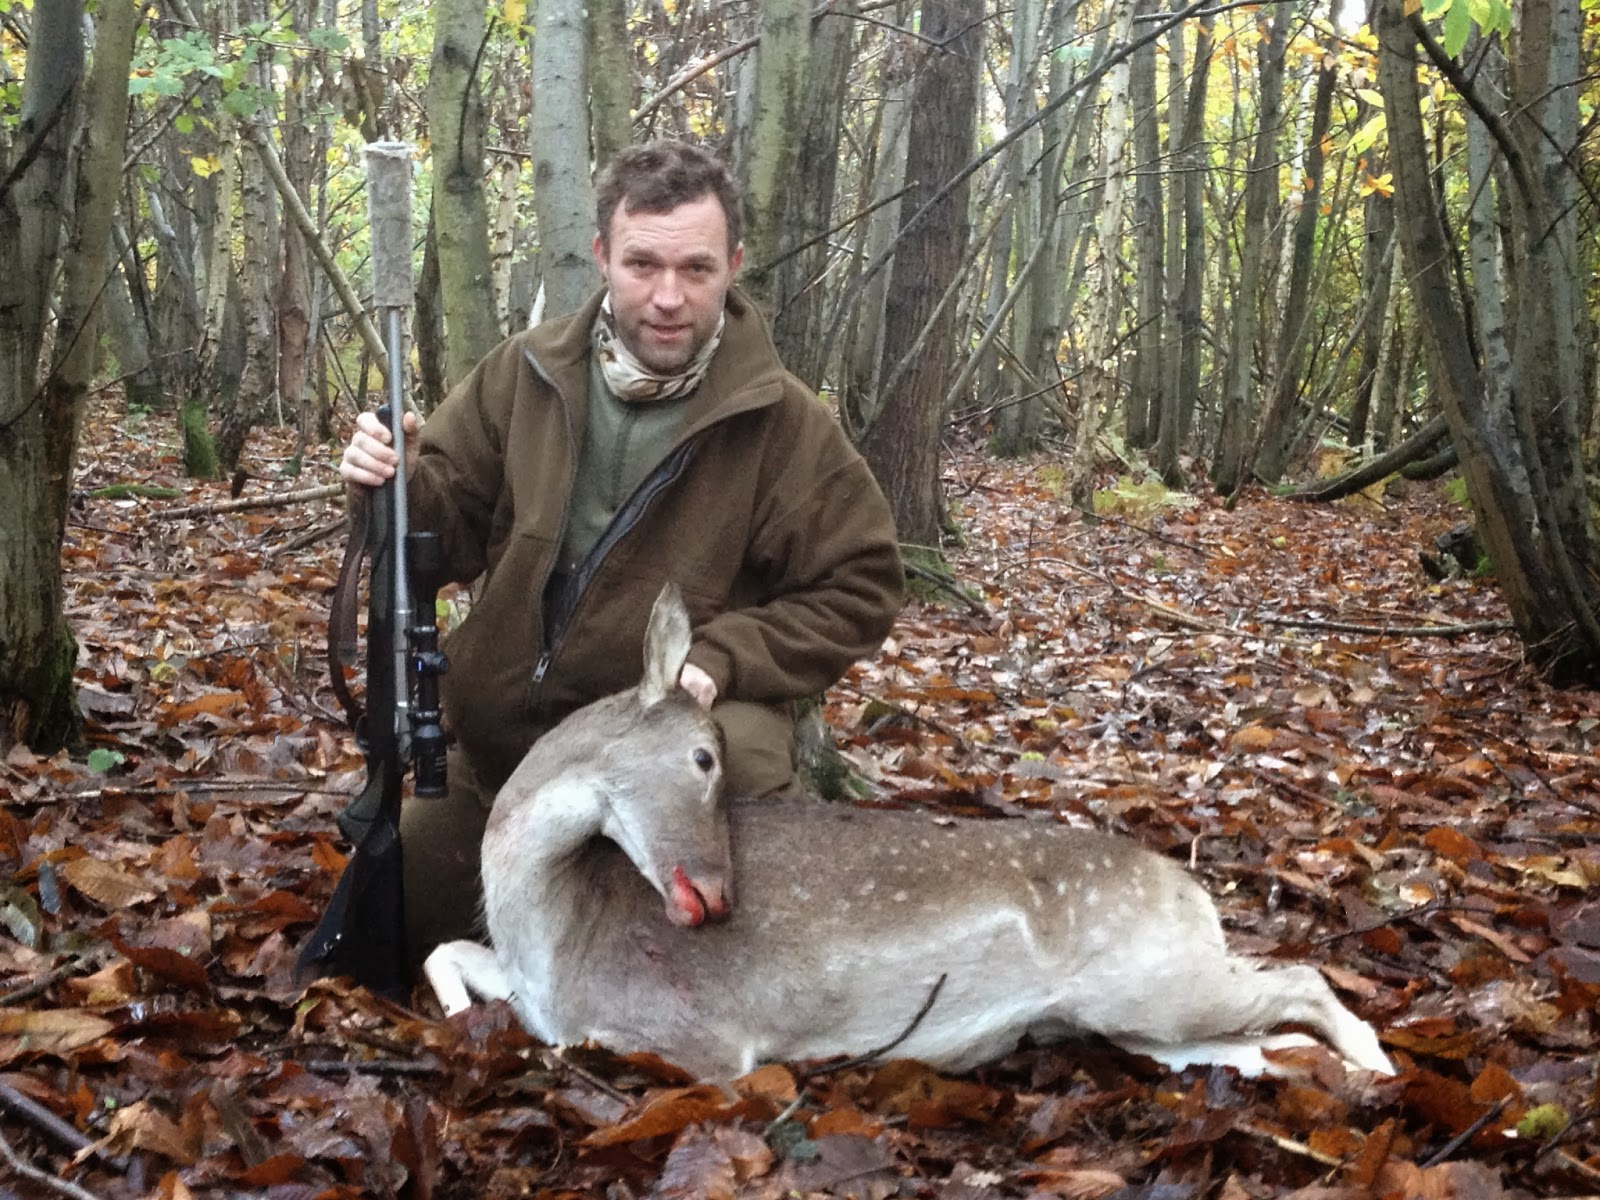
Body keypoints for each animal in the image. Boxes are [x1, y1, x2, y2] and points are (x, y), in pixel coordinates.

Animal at [424, 585, 1394, 1081]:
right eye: (703, 757)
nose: (714, 898)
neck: (554, 934)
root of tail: (1192, 887)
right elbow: (445, 953)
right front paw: (456, 1011)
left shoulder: (705, 1038)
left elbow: (574, 1040)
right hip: (1147, 1016)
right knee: (1266, 1043)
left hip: (1149, 976)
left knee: (1304, 976)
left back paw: (1381, 1066)